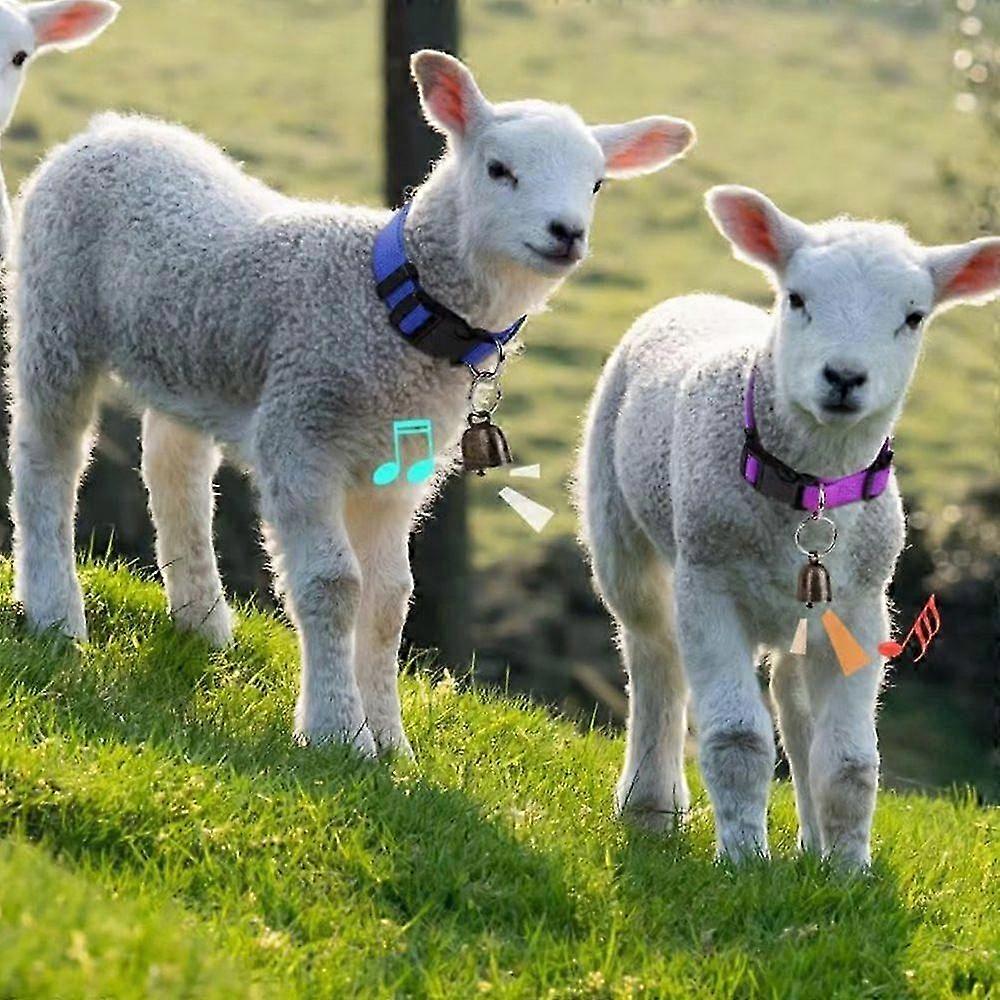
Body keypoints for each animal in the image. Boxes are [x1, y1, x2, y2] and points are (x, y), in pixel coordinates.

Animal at [7, 49, 696, 759]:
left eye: (596, 184)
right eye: (498, 169)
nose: (566, 234)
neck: (393, 304)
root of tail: (109, 130)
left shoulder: (397, 469)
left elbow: (390, 601)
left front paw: (390, 743)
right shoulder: (301, 433)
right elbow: (335, 585)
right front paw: (337, 733)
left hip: (187, 355)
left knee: (176, 468)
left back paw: (201, 620)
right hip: (54, 311)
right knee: (47, 457)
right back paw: (53, 610)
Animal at [578, 185, 999, 868]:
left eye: (914, 317)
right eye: (797, 298)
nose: (844, 377)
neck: (810, 487)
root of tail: (701, 298)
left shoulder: (860, 606)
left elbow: (850, 762)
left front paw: (848, 869)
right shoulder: (709, 584)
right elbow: (738, 738)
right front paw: (744, 861)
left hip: (802, 610)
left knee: (791, 697)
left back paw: (811, 843)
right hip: (621, 529)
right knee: (653, 654)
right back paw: (650, 805)